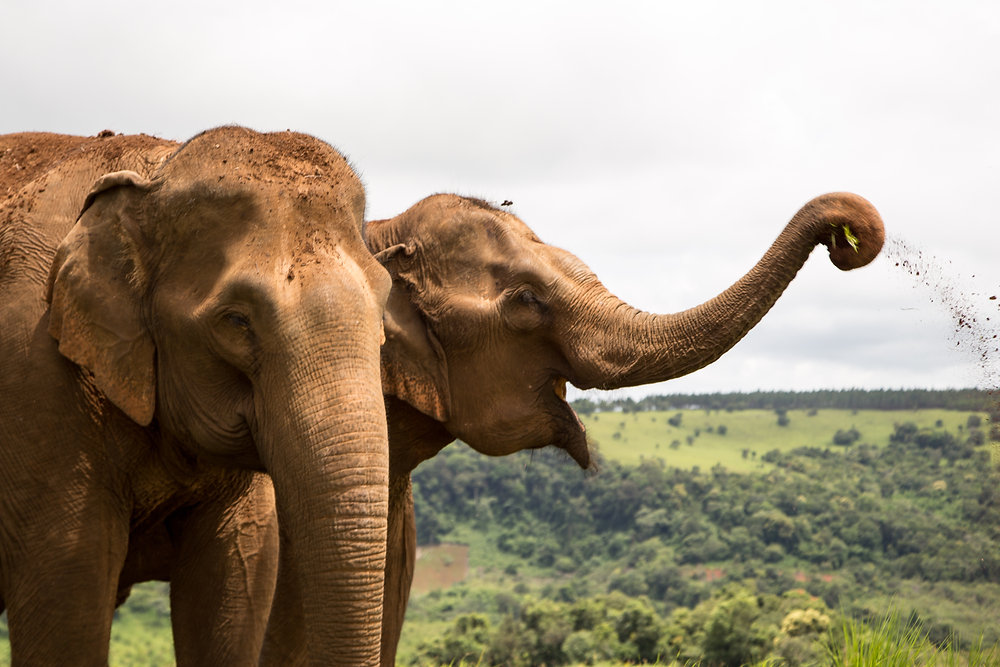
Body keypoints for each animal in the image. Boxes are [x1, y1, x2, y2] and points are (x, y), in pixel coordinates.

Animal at [0, 127, 392, 665]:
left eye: (385, 306)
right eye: (237, 321)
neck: (156, 168)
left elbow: (236, 573)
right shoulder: (33, 369)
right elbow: (66, 578)